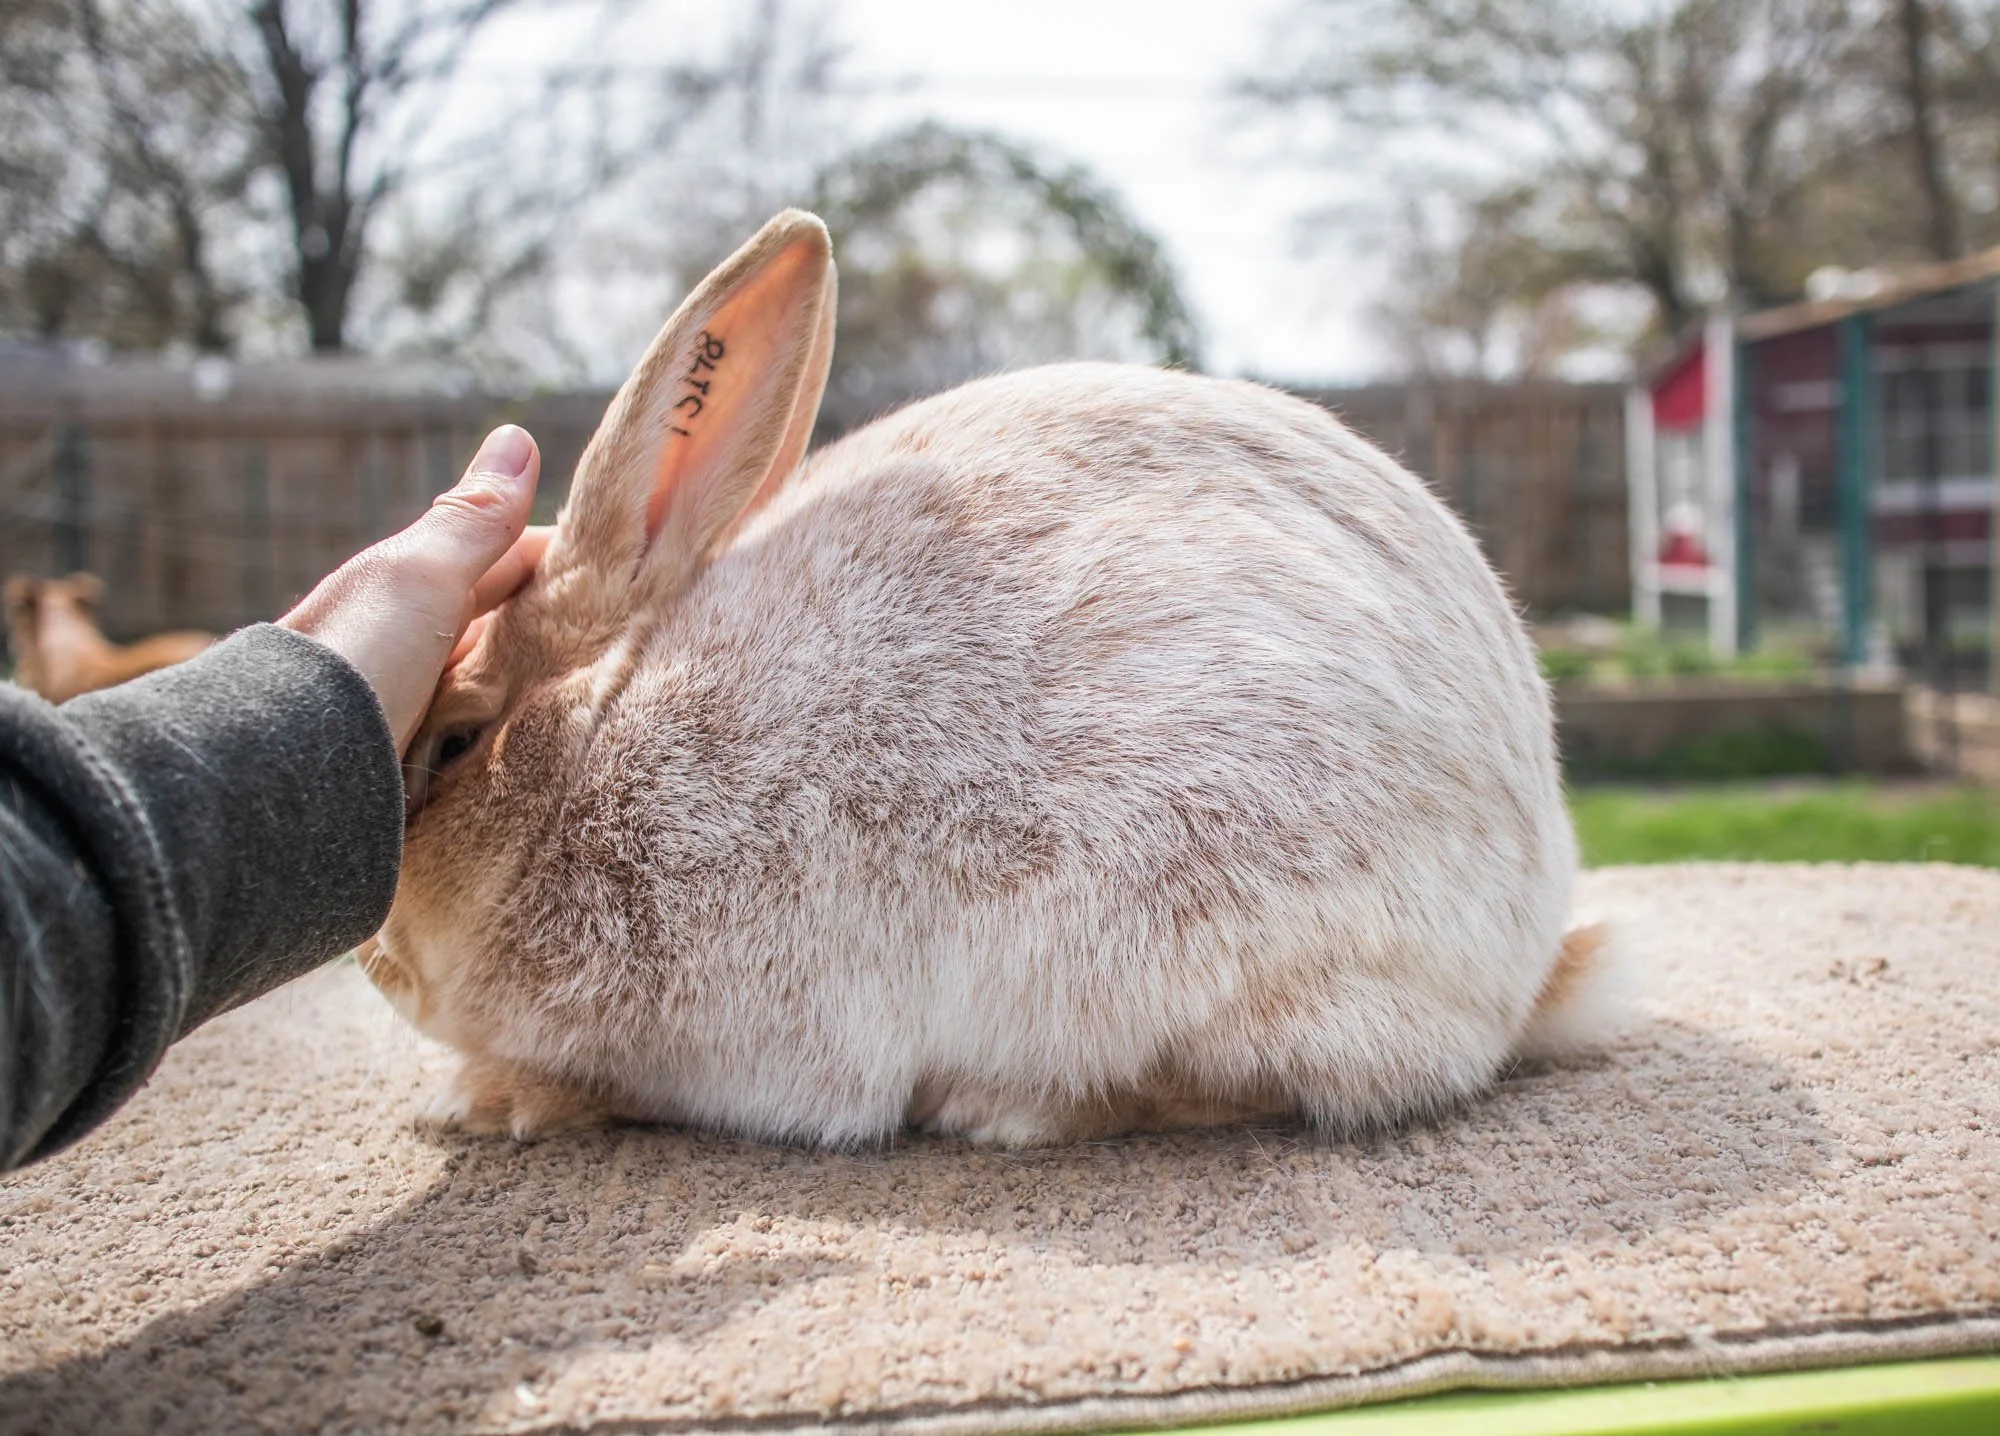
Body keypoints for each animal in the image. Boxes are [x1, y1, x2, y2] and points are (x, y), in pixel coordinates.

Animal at [360, 209, 1620, 1148]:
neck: (595, 753)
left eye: (455, 740)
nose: (376, 963)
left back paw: (999, 1107)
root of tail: (1529, 958)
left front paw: (488, 1102)